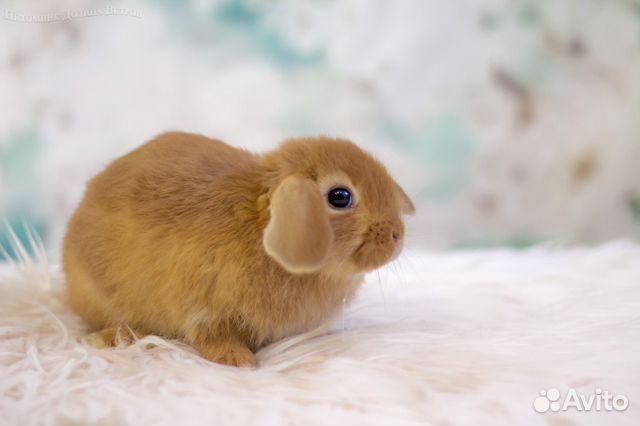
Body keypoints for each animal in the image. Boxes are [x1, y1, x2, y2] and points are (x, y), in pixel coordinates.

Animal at [63, 132, 415, 367]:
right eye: (340, 197)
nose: (397, 234)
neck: (260, 228)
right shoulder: (205, 307)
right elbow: (212, 335)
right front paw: (238, 360)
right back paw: (114, 337)